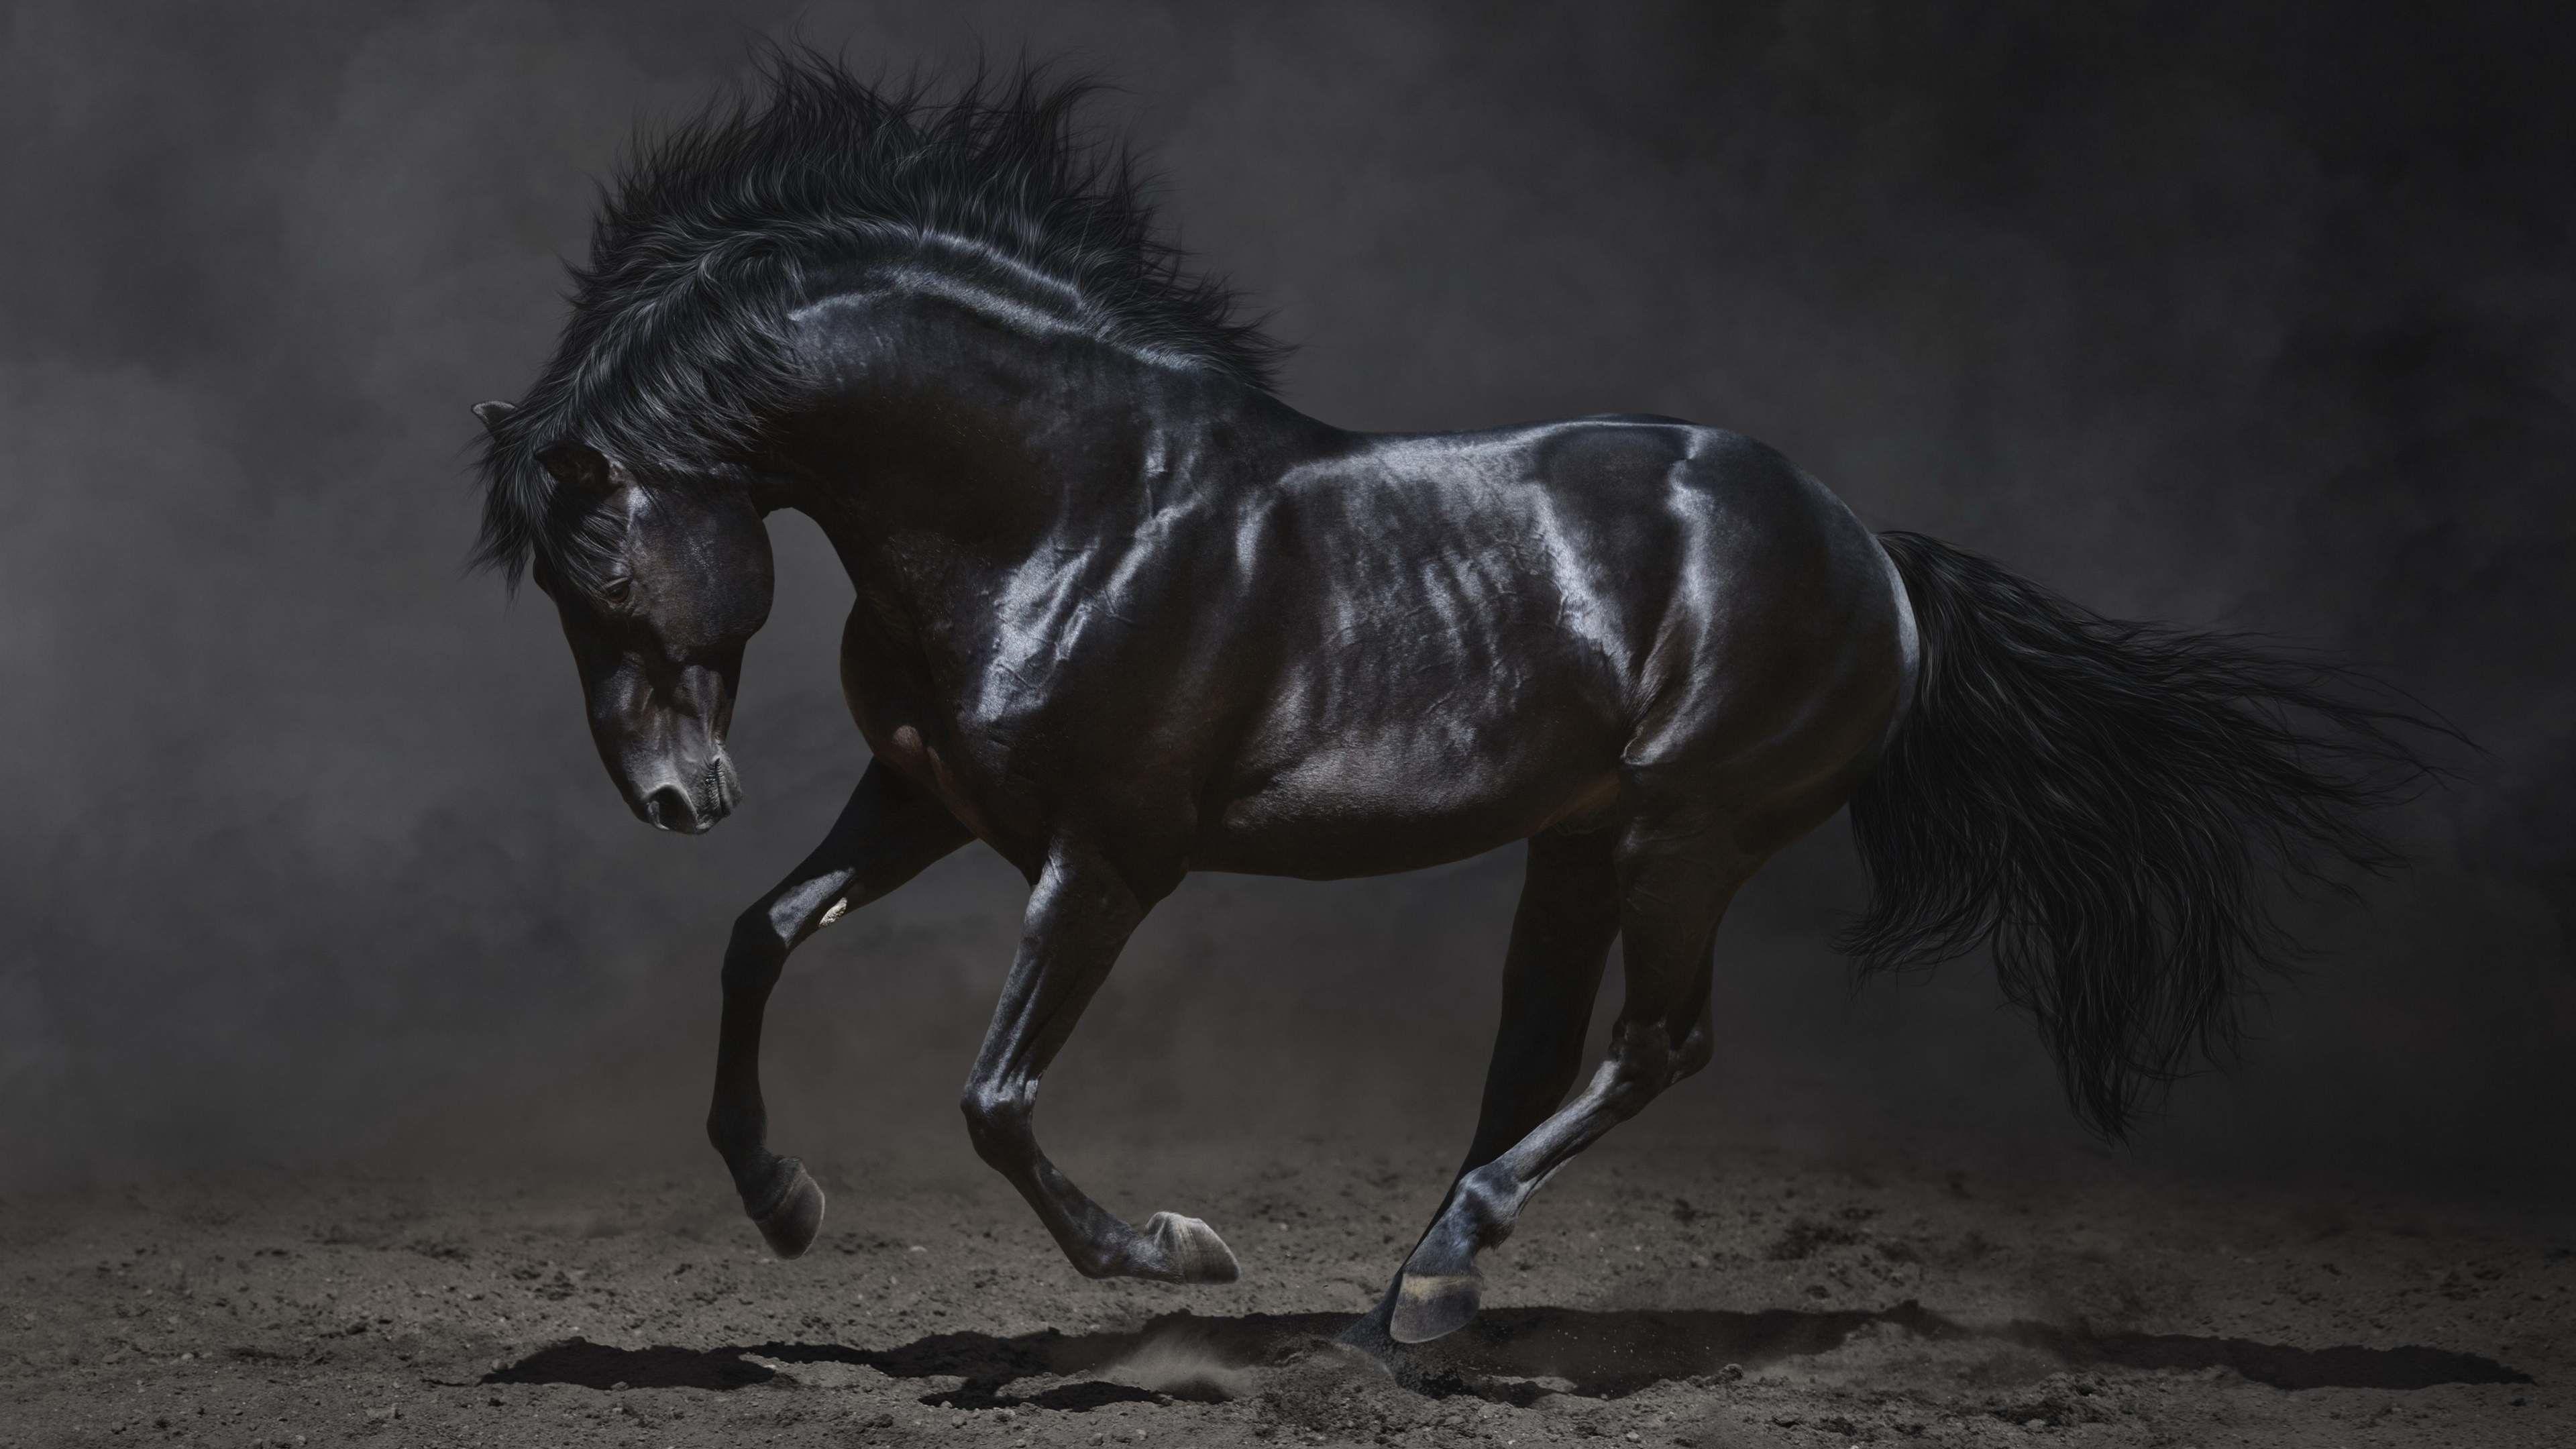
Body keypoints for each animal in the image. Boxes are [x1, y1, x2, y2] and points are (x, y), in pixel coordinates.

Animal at [469, 54, 2440, 1352]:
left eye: (601, 572)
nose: (675, 795)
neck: (1070, 506)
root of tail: (1871, 551)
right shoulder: (927, 800)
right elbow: (759, 938)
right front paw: (782, 1202)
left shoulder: (1106, 858)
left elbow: (996, 1097)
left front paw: (1177, 1255)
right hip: (1578, 843)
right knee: (1535, 1055)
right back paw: (1413, 1299)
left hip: (1688, 833)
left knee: (1656, 1045)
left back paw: (1432, 1278)